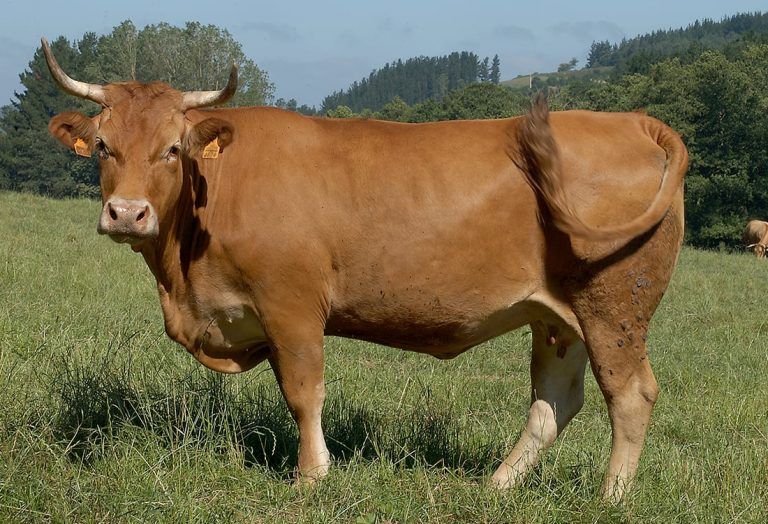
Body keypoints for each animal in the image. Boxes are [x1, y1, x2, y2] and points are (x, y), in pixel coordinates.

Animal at [42, 37, 687, 502]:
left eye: (172, 150)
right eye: (104, 147)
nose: (127, 213)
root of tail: (634, 121)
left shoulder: (291, 305)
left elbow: (304, 392)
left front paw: (311, 476)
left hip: (614, 307)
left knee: (630, 395)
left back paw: (610, 498)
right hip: (559, 318)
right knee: (555, 401)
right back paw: (497, 486)